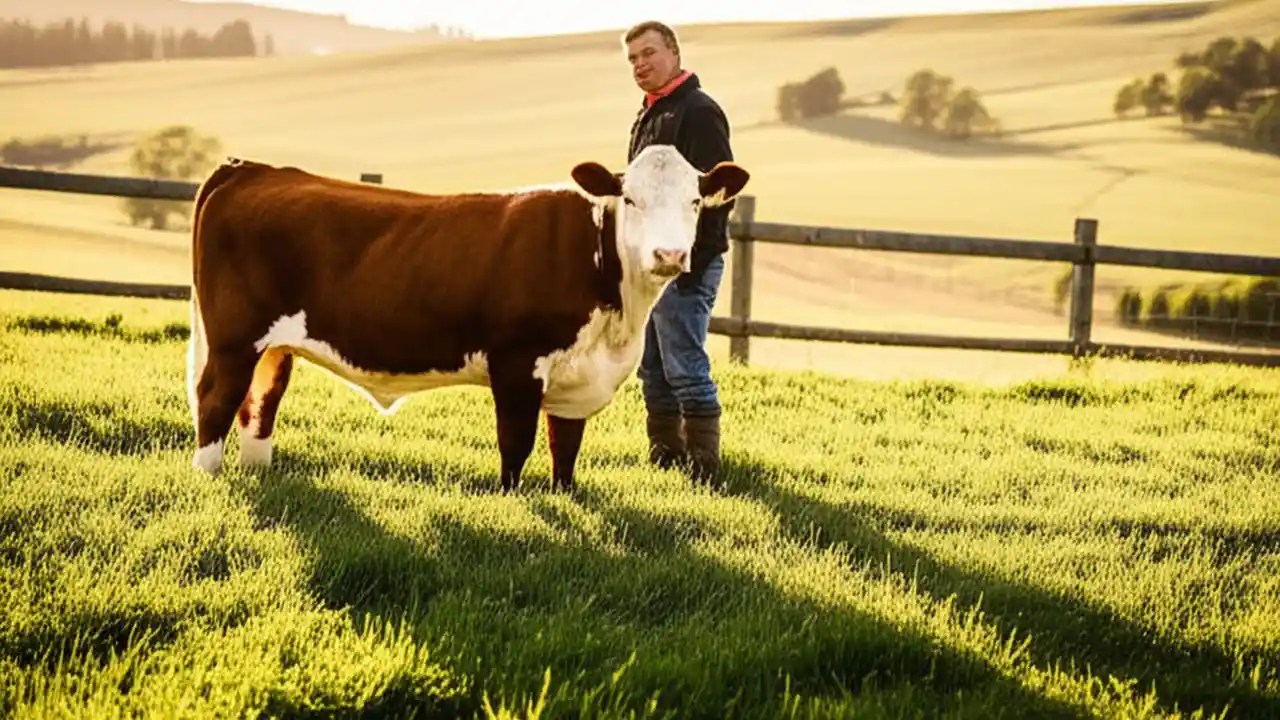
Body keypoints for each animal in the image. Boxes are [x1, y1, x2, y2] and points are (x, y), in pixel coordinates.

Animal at [186, 145, 749, 492]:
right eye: (630, 198)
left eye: (695, 200)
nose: (670, 254)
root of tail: (250, 167)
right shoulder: (518, 361)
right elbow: (516, 444)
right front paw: (514, 503)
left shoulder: (576, 377)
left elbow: (565, 449)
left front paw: (564, 495)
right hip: (234, 339)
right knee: (216, 399)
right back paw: (210, 476)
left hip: (275, 346)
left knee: (260, 403)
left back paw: (258, 474)